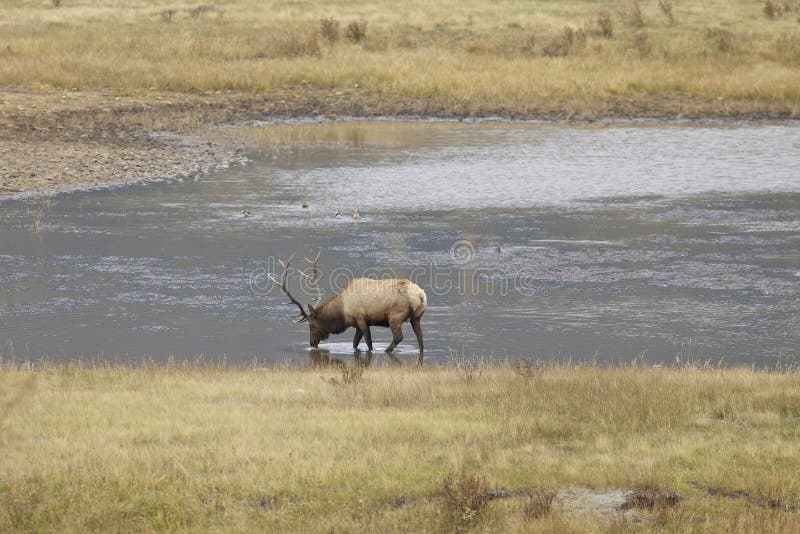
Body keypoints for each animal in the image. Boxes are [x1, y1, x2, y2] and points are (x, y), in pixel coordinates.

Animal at [272, 254, 427, 363]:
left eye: (311, 325)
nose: (312, 343)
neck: (342, 311)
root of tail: (421, 296)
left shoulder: (361, 318)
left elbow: (368, 342)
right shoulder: (357, 323)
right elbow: (354, 343)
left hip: (395, 316)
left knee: (398, 337)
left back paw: (385, 350)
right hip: (416, 317)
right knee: (420, 339)